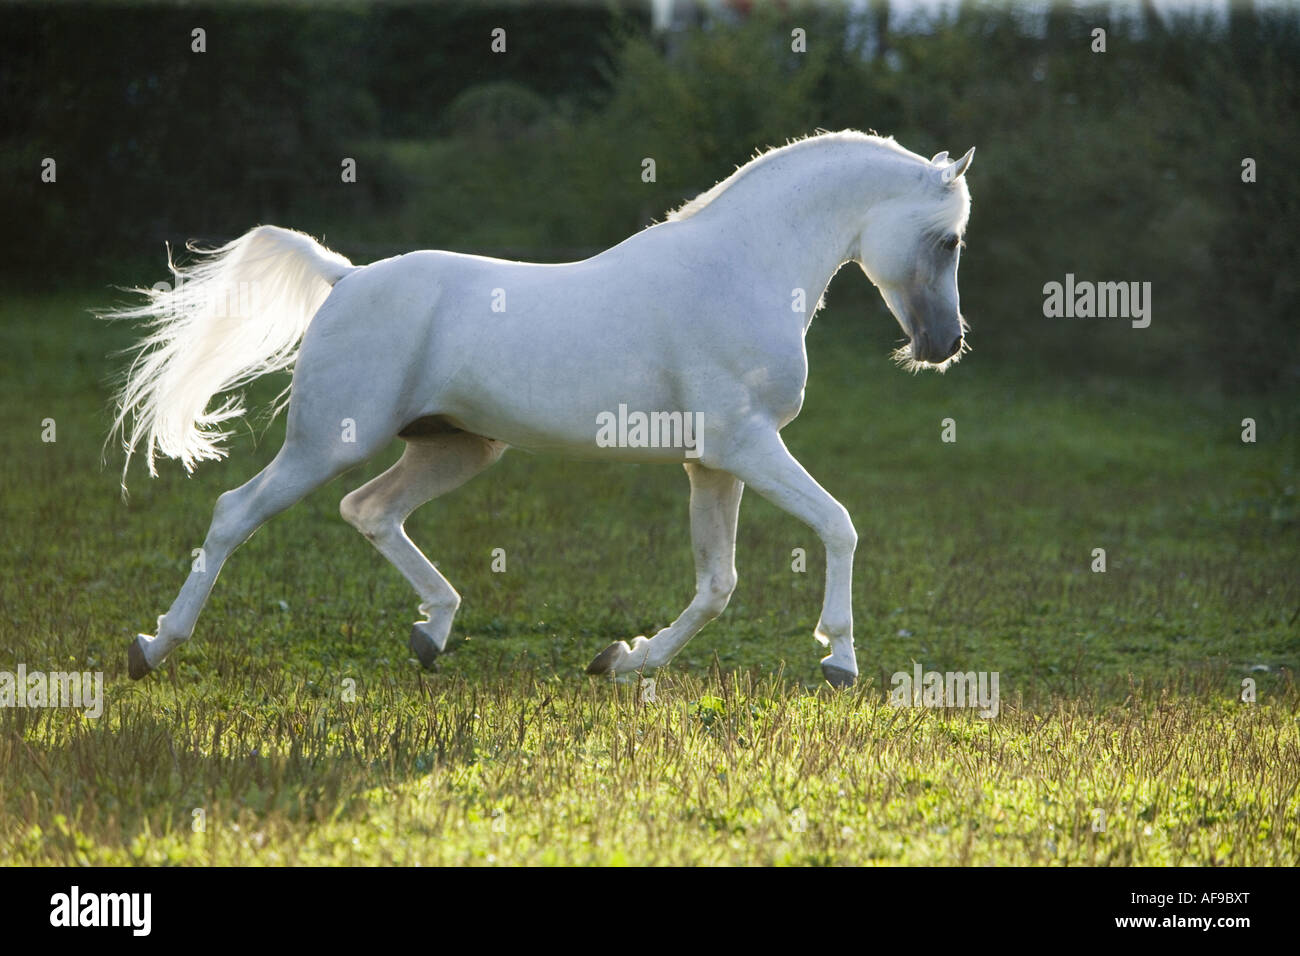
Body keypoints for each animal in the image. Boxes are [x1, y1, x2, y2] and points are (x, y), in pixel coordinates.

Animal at [102, 130, 975, 687]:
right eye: (949, 240)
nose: (943, 345)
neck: (740, 268)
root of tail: (344, 276)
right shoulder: (747, 448)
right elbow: (838, 525)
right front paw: (839, 660)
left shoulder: (712, 463)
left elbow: (717, 582)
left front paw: (624, 661)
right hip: (329, 442)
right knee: (235, 512)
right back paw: (153, 648)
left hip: (454, 447)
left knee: (371, 510)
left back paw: (432, 632)